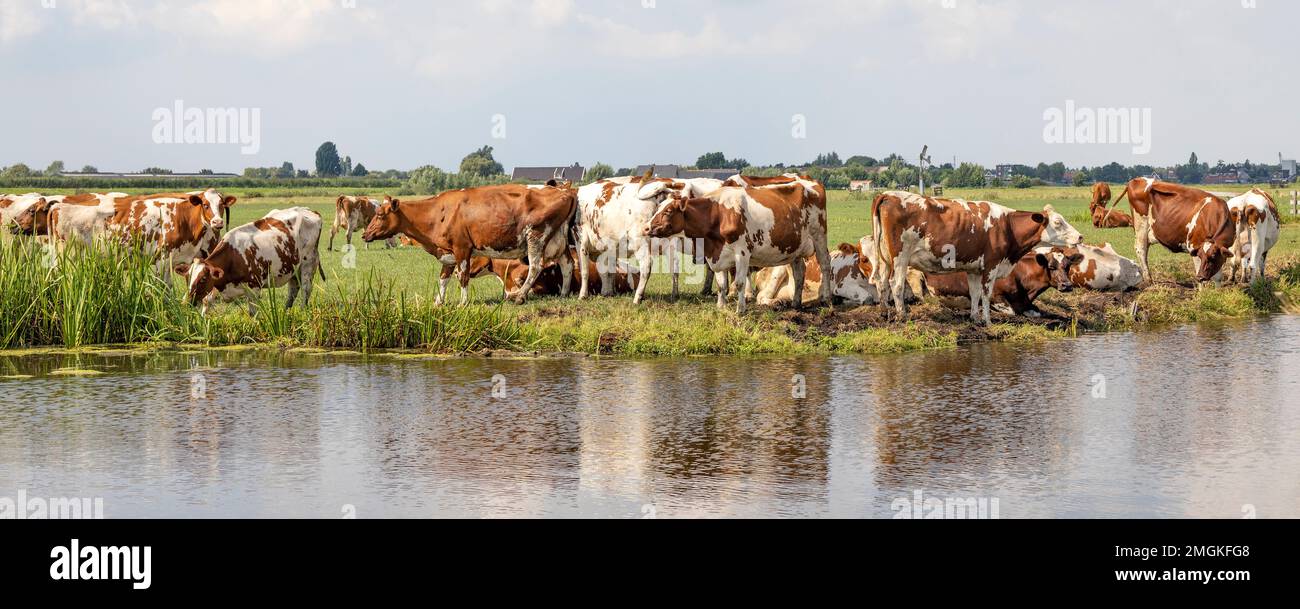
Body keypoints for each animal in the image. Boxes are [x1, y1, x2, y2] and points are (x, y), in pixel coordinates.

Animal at [173, 207, 324, 316]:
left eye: (203, 278)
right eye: (188, 277)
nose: (187, 302)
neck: (233, 257)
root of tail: (309, 210)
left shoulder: (254, 288)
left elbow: (253, 313)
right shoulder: (217, 282)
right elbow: (206, 302)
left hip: (308, 263)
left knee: (305, 290)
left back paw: (302, 312)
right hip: (293, 268)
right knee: (292, 291)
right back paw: (286, 313)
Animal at [361, 184, 577, 305]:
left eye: (379, 215)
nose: (364, 234)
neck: (437, 212)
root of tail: (564, 191)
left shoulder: (462, 248)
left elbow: (463, 277)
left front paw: (463, 303)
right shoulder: (447, 252)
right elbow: (443, 278)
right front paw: (438, 302)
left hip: (536, 236)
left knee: (535, 267)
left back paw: (519, 296)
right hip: (559, 240)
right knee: (567, 264)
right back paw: (564, 294)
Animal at [575, 172, 721, 303]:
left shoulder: (582, 241)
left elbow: (585, 270)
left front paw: (583, 295)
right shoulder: (609, 248)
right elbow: (607, 270)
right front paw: (608, 292)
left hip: (641, 242)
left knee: (647, 266)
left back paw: (638, 298)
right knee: (678, 267)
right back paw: (681, 294)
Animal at [645, 183, 834, 314]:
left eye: (668, 211)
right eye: (658, 208)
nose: (646, 228)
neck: (718, 214)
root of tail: (810, 183)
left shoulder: (742, 253)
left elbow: (740, 282)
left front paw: (740, 309)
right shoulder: (717, 254)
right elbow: (721, 284)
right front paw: (721, 306)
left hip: (819, 236)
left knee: (825, 264)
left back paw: (826, 299)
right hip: (795, 248)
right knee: (799, 272)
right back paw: (796, 302)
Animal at [923, 249, 1083, 317]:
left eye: (1068, 266)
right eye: (1051, 267)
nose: (1067, 285)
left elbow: (1036, 313)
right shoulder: (995, 296)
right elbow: (1011, 311)